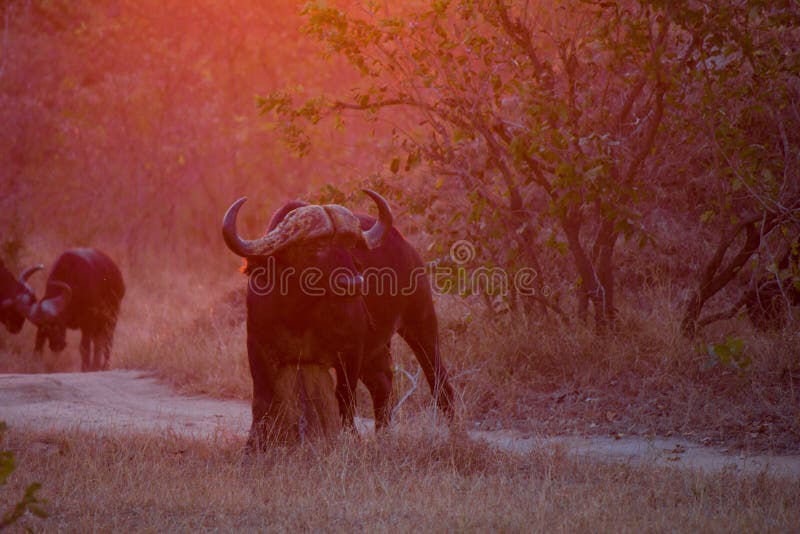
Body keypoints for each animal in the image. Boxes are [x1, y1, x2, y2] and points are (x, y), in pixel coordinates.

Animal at [222, 190, 454, 448]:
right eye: (315, 246)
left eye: (348, 244)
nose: (354, 282)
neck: (299, 312)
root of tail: (408, 249)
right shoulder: (258, 347)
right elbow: (261, 400)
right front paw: (253, 445)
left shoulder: (351, 351)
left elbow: (344, 396)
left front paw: (350, 437)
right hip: (375, 350)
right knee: (382, 383)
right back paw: (383, 434)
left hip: (420, 322)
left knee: (438, 380)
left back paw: (453, 431)